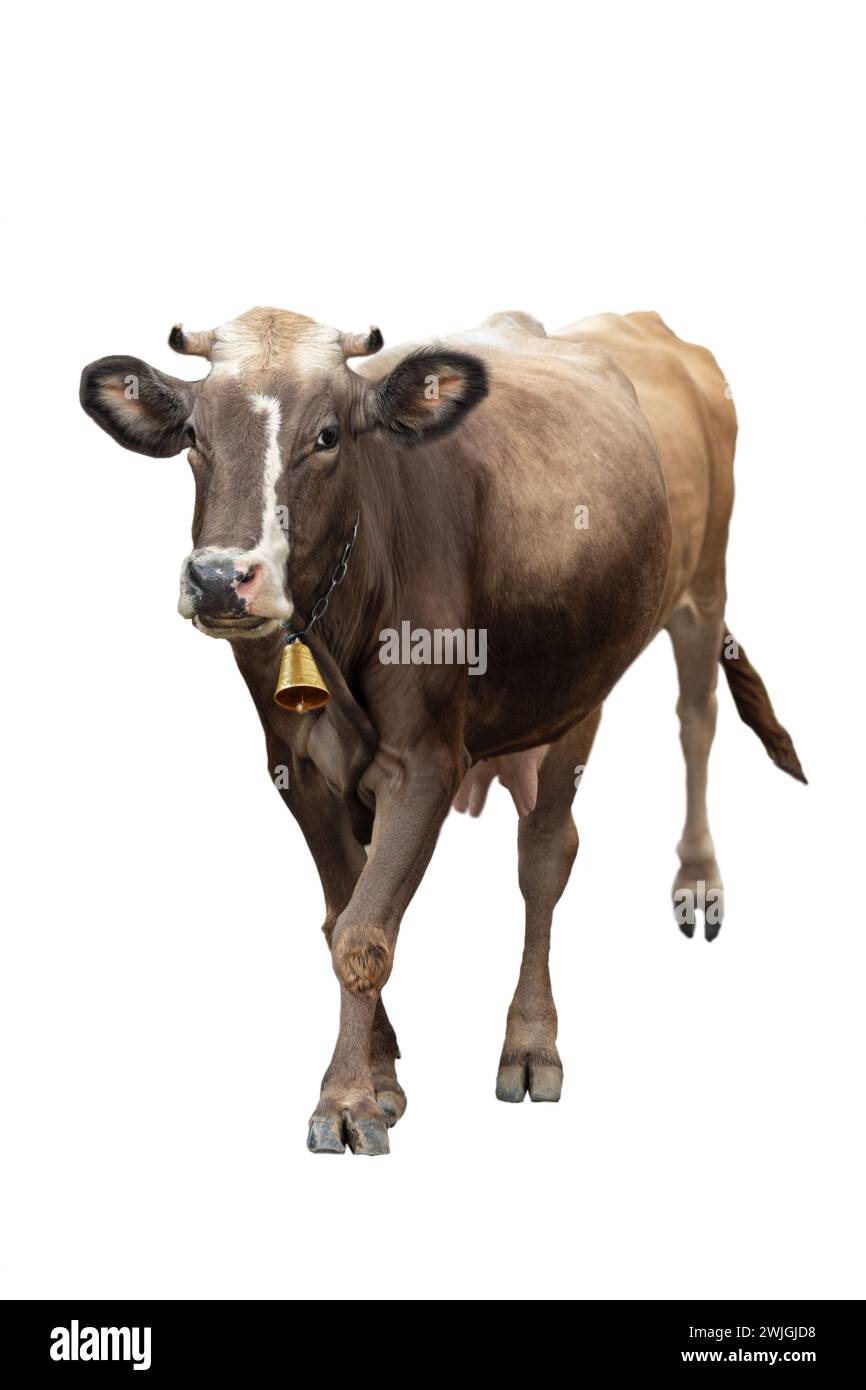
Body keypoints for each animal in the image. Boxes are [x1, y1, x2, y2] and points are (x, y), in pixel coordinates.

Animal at [80, 306, 805, 1155]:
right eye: (195, 434)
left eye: (328, 435)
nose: (223, 578)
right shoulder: (295, 765)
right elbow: (342, 911)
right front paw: (380, 1069)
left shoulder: (425, 759)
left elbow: (364, 933)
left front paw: (347, 1099)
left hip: (687, 603)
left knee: (630, 783)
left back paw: (565, 1010)